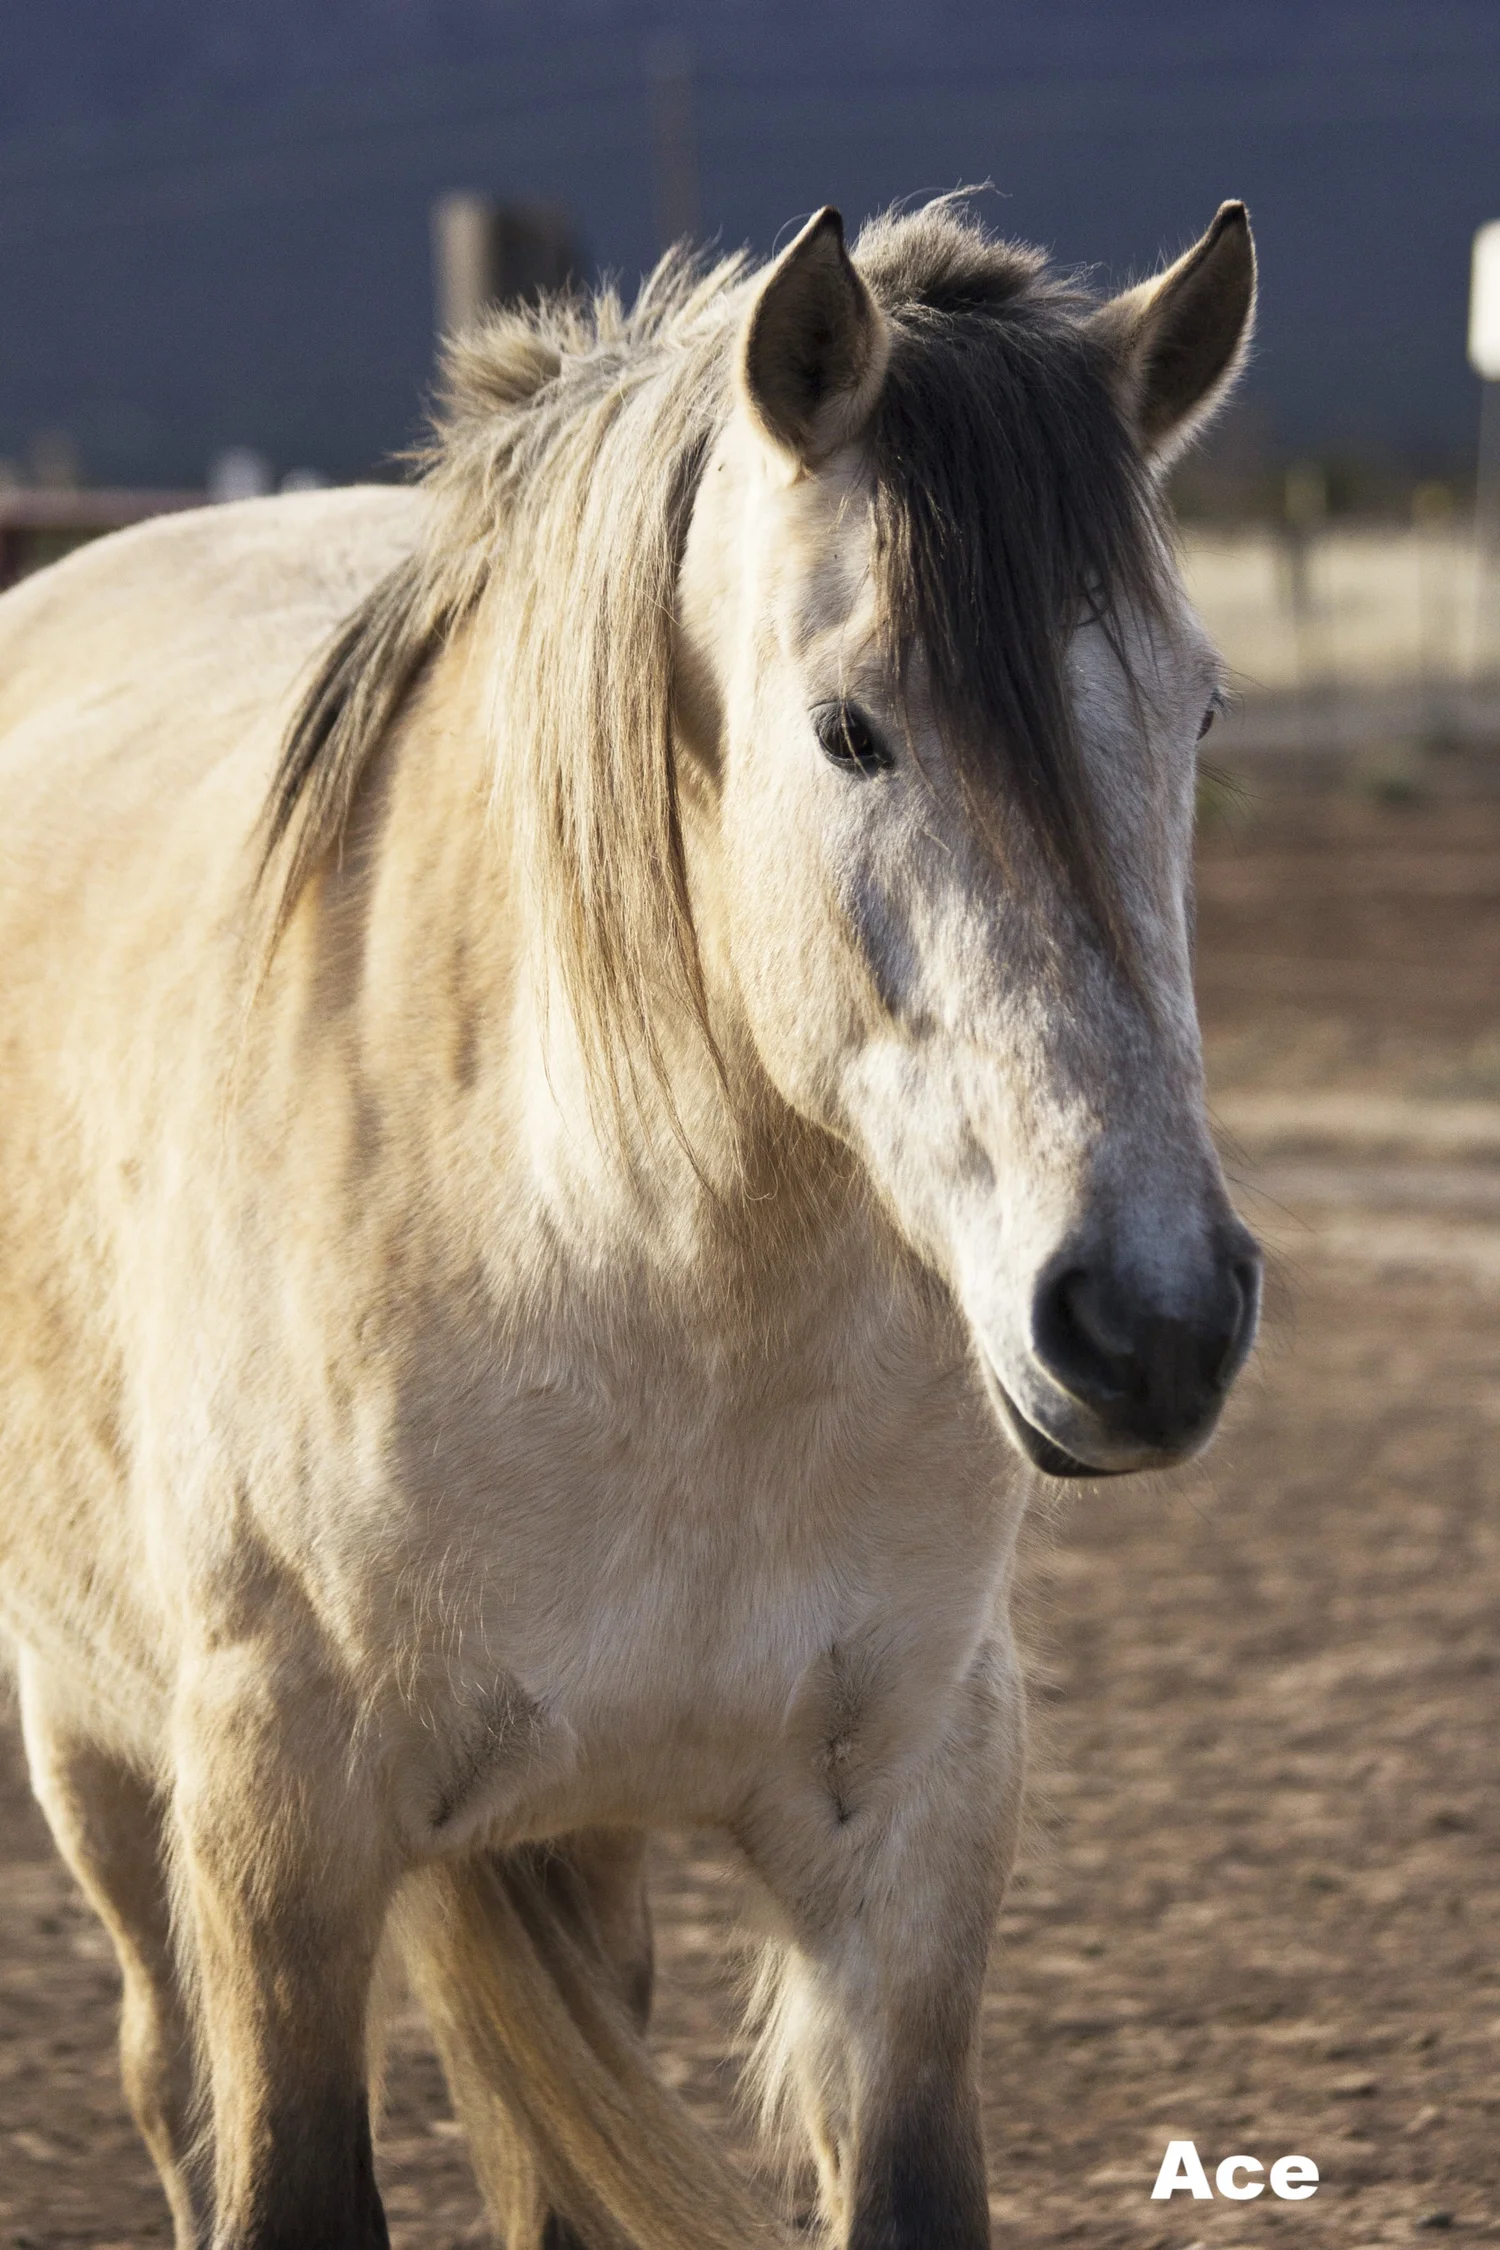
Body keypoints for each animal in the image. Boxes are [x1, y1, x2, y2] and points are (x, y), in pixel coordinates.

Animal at [0, 195, 1260, 2249]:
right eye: (849, 730)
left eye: (1197, 707)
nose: (1149, 1321)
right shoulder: (275, 1829)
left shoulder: (914, 1826)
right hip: (99, 1750)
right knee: (167, 2082)